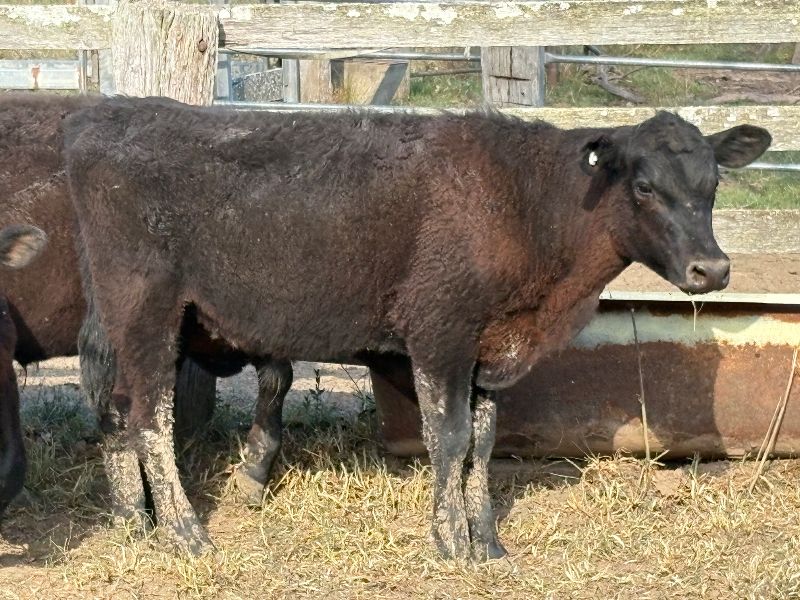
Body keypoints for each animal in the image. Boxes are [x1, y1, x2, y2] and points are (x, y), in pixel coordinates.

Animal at [63, 96, 771, 559]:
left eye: (713, 183)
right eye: (644, 186)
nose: (712, 268)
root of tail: (105, 125)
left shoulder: (490, 350)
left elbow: (483, 444)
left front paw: (488, 542)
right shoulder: (441, 330)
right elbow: (450, 440)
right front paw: (450, 541)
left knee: (119, 411)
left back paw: (133, 523)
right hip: (146, 310)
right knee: (149, 418)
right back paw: (185, 534)